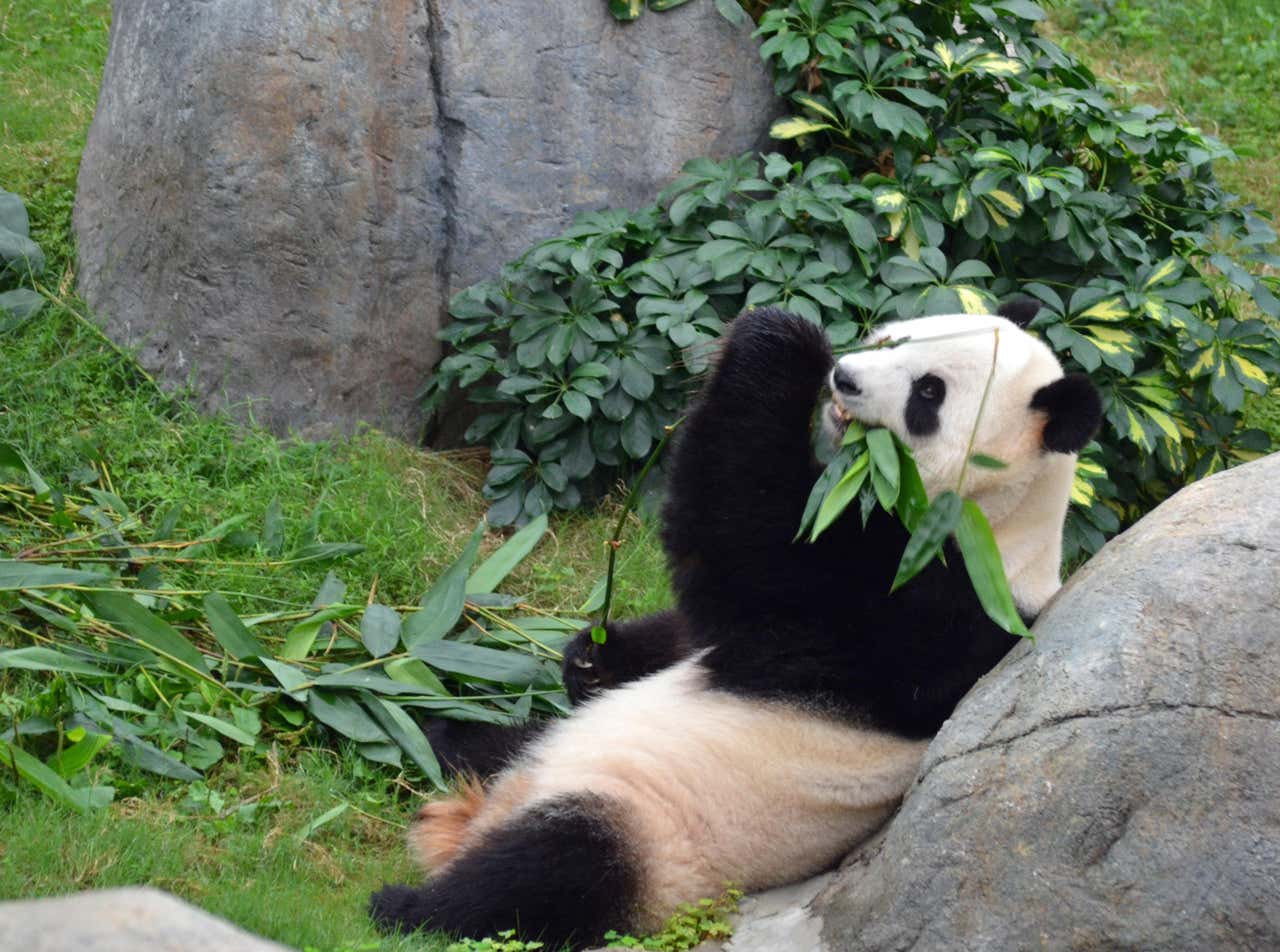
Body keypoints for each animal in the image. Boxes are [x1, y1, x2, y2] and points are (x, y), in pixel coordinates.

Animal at [370, 305, 1102, 949]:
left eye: (930, 392)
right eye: (896, 337)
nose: (845, 377)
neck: (1000, 518)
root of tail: (479, 817)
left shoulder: (922, 603)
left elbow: (751, 551)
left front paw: (781, 340)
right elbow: (693, 632)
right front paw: (590, 656)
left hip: (651, 833)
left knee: (547, 875)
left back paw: (406, 907)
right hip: (547, 751)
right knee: (493, 746)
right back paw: (438, 739)